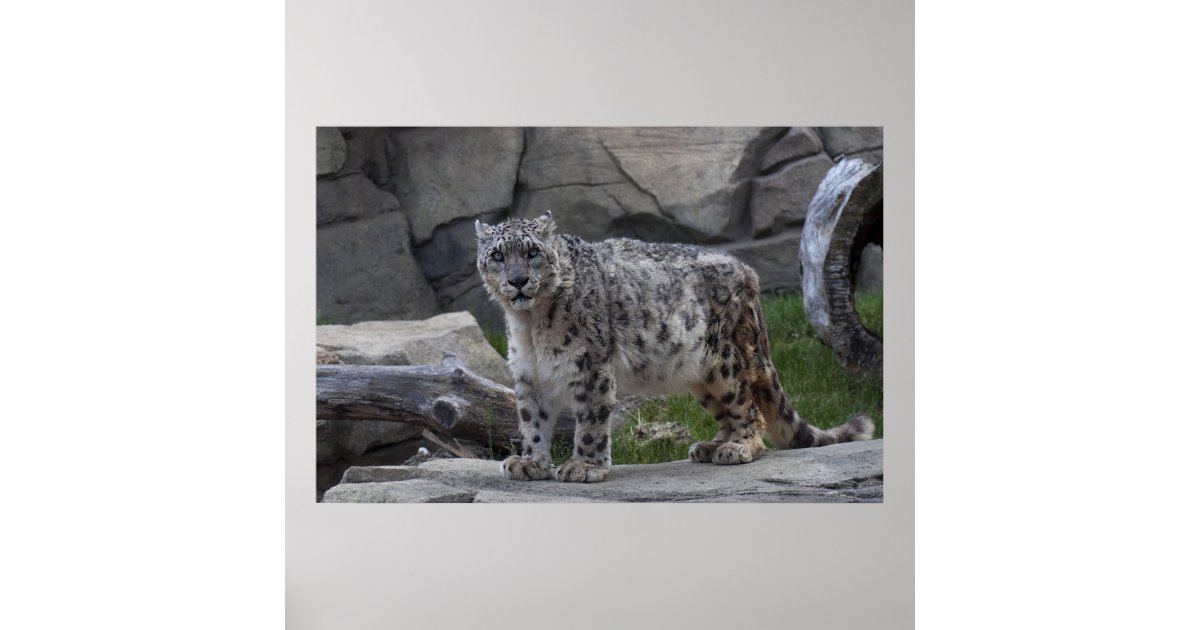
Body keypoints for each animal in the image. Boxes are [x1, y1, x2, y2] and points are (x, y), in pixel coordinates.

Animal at [475, 211, 874, 483]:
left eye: (532, 252)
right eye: (497, 256)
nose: (518, 281)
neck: (530, 326)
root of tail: (749, 273)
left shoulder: (591, 367)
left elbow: (590, 419)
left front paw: (584, 466)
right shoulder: (529, 374)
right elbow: (532, 420)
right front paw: (529, 462)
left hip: (724, 362)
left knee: (749, 407)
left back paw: (738, 447)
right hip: (702, 378)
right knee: (729, 411)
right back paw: (710, 446)